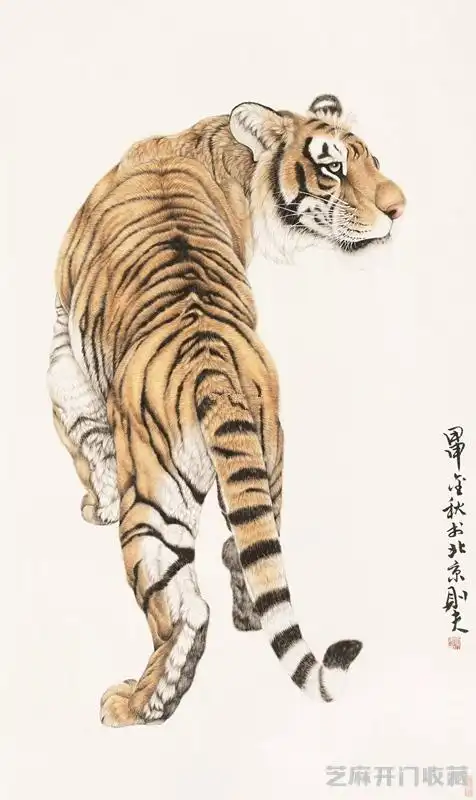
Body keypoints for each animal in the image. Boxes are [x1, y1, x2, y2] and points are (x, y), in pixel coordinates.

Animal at [47, 93, 406, 727]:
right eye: (334, 167)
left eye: (372, 160)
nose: (400, 208)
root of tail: (212, 363)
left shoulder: (63, 358)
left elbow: (83, 436)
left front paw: (97, 507)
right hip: (268, 458)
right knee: (250, 550)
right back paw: (247, 617)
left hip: (155, 499)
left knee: (184, 608)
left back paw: (136, 705)